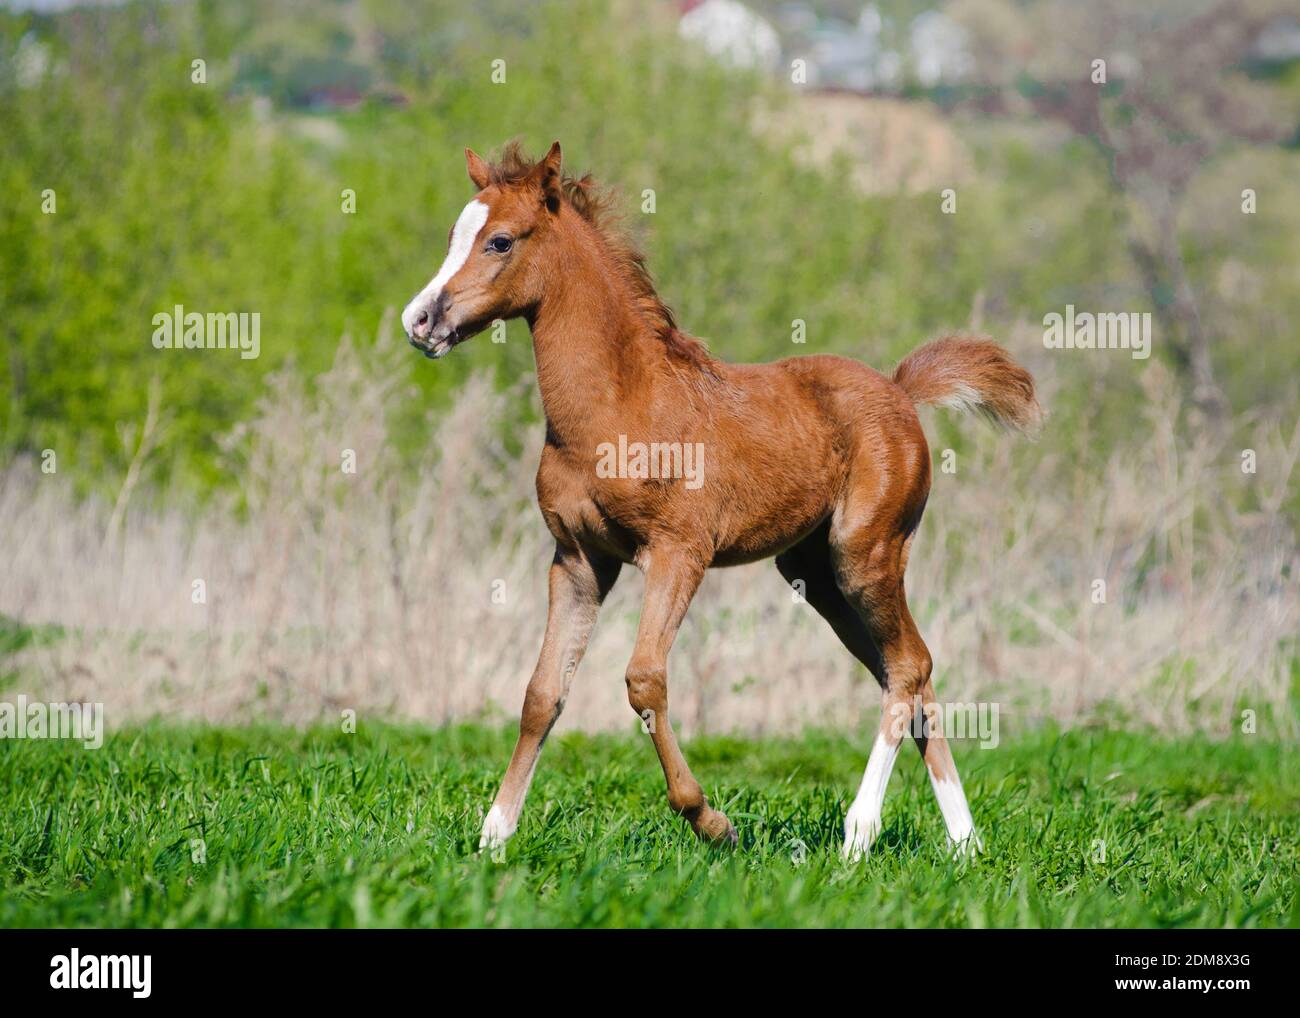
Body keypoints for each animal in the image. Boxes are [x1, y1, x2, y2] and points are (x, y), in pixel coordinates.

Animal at [402, 141, 1042, 859]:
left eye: (501, 241)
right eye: (454, 235)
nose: (420, 319)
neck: (617, 404)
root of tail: (901, 391)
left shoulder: (678, 552)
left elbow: (644, 679)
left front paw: (711, 820)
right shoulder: (577, 561)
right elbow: (542, 693)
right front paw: (494, 835)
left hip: (867, 553)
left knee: (907, 665)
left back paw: (860, 833)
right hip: (814, 574)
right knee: (910, 670)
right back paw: (964, 842)